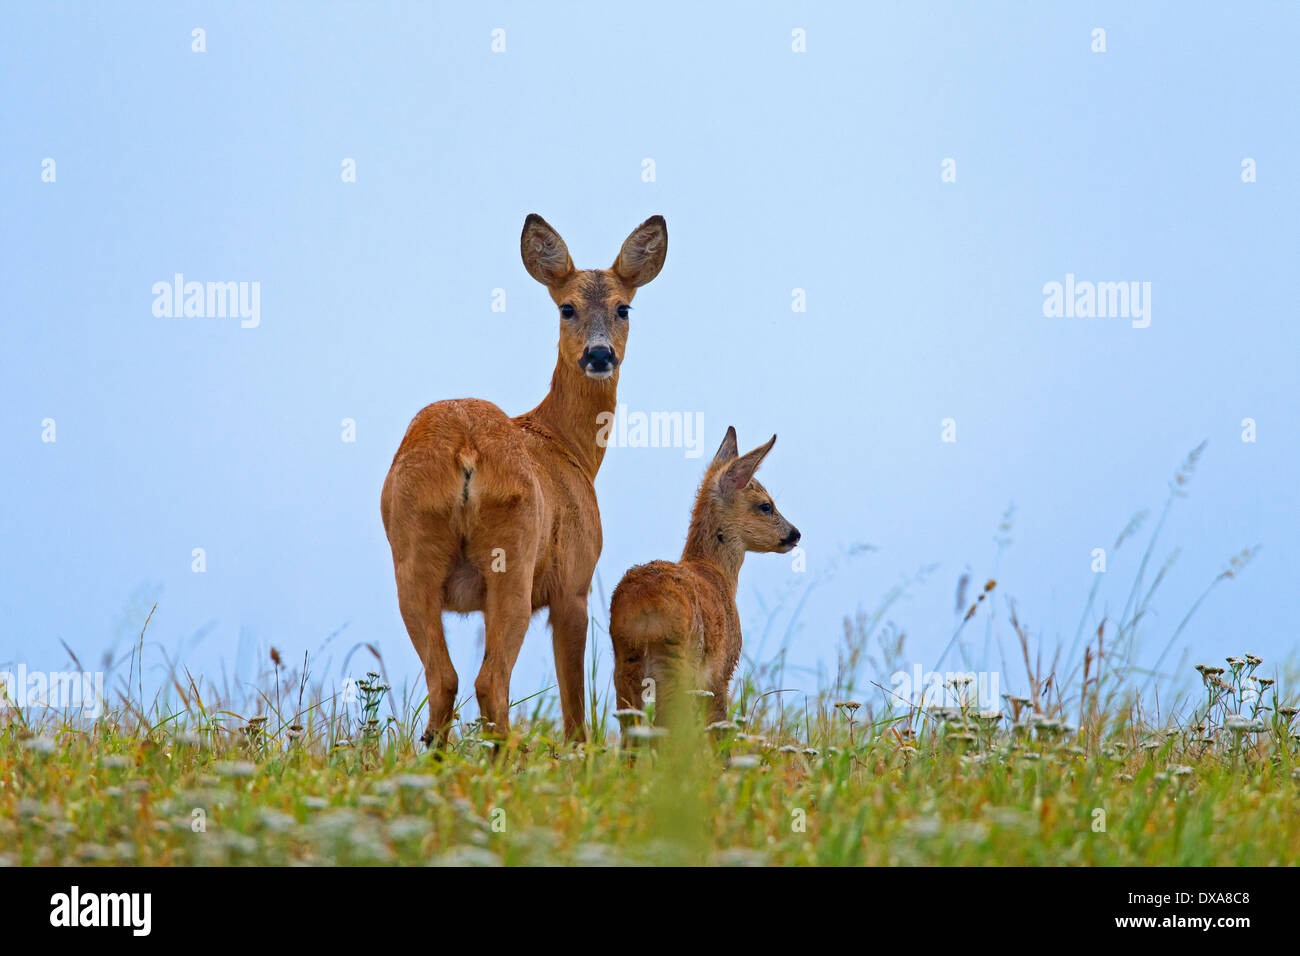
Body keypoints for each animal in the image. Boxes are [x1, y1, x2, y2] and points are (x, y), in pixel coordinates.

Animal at [381, 214, 667, 748]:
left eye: (623, 307)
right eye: (567, 307)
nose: (600, 355)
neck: (567, 446)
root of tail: (466, 449)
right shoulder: (574, 580)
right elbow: (574, 703)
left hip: (411, 554)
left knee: (443, 679)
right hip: (512, 558)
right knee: (489, 682)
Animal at [608, 427, 800, 733]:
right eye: (766, 505)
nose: (795, 534)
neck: (715, 571)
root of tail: (646, 606)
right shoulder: (723, 668)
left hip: (625, 659)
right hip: (679, 657)